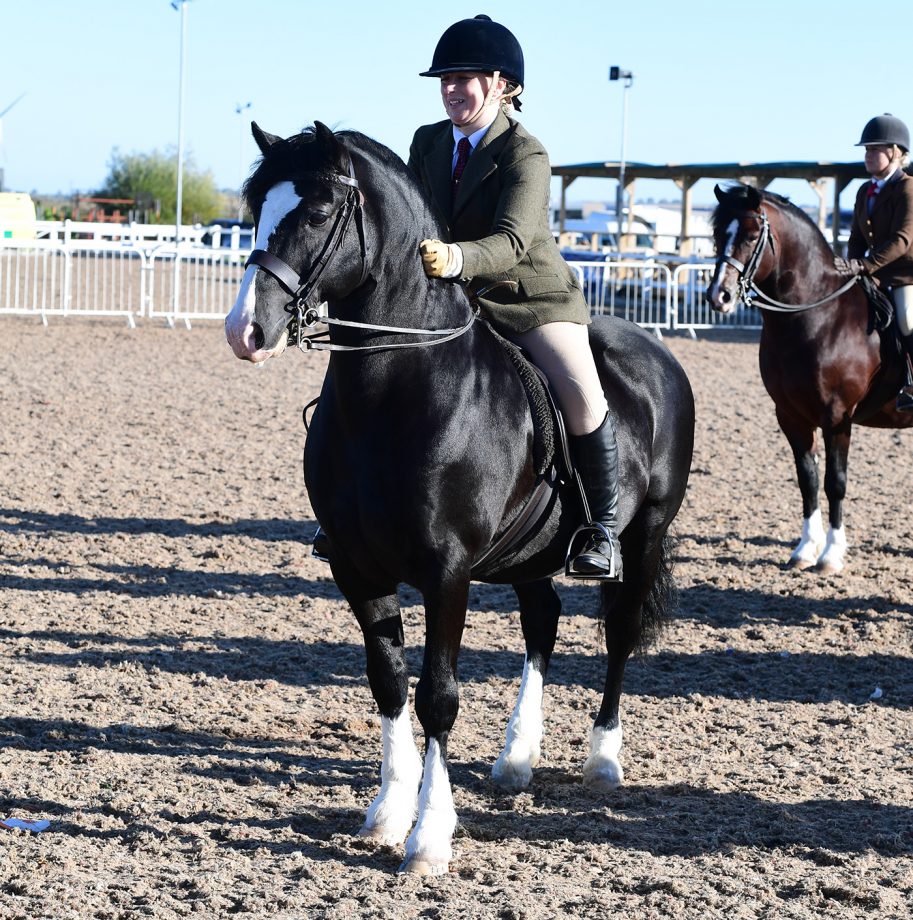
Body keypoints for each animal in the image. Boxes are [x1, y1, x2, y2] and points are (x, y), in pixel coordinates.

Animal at [224, 121, 694, 875]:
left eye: (319, 212)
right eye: (255, 209)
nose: (246, 331)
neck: (392, 394)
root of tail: (653, 350)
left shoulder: (447, 573)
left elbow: (437, 697)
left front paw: (427, 838)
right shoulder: (356, 568)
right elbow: (387, 683)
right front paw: (388, 813)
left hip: (643, 533)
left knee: (619, 631)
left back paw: (602, 759)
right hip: (530, 552)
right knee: (542, 622)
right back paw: (516, 758)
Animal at [707, 183, 913, 574]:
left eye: (752, 235)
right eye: (716, 234)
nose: (719, 296)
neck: (817, 315)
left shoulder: (837, 417)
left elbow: (835, 482)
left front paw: (831, 554)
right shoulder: (790, 416)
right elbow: (808, 480)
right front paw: (804, 550)